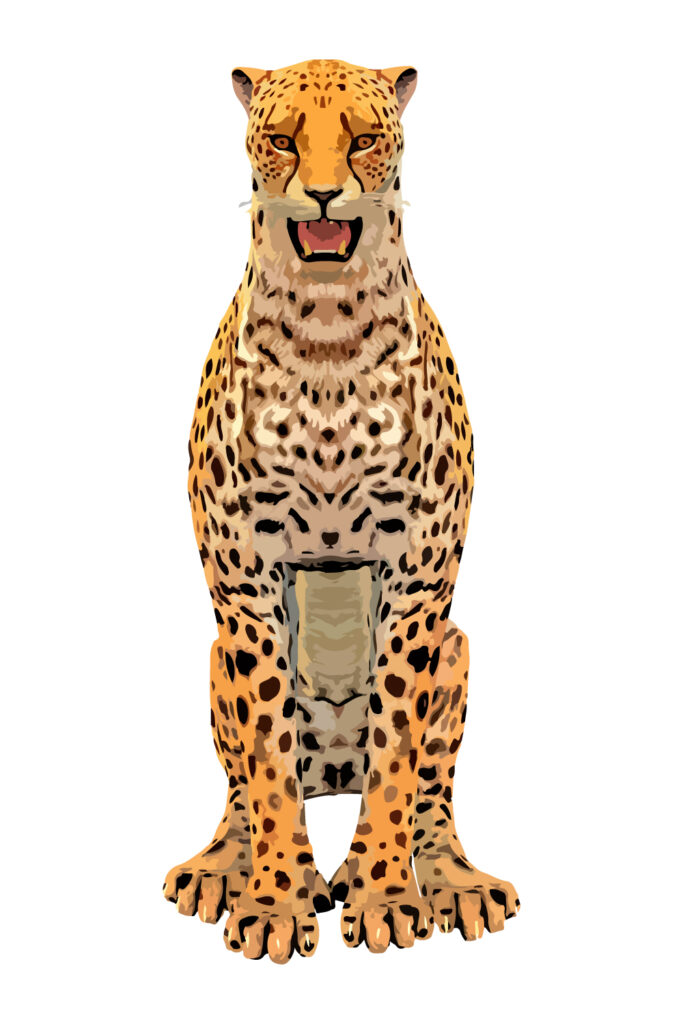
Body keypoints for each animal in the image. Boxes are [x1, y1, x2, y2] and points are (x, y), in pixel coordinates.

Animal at [163, 58, 520, 963]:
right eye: (282, 138)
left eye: (361, 138)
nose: (324, 194)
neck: (327, 335)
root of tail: (334, 770)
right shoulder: (245, 581)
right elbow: (265, 757)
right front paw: (275, 902)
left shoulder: (418, 578)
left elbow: (397, 751)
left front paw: (388, 895)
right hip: (214, 652)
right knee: (243, 785)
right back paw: (219, 867)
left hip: (456, 648)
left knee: (431, 792)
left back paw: (440, 881)